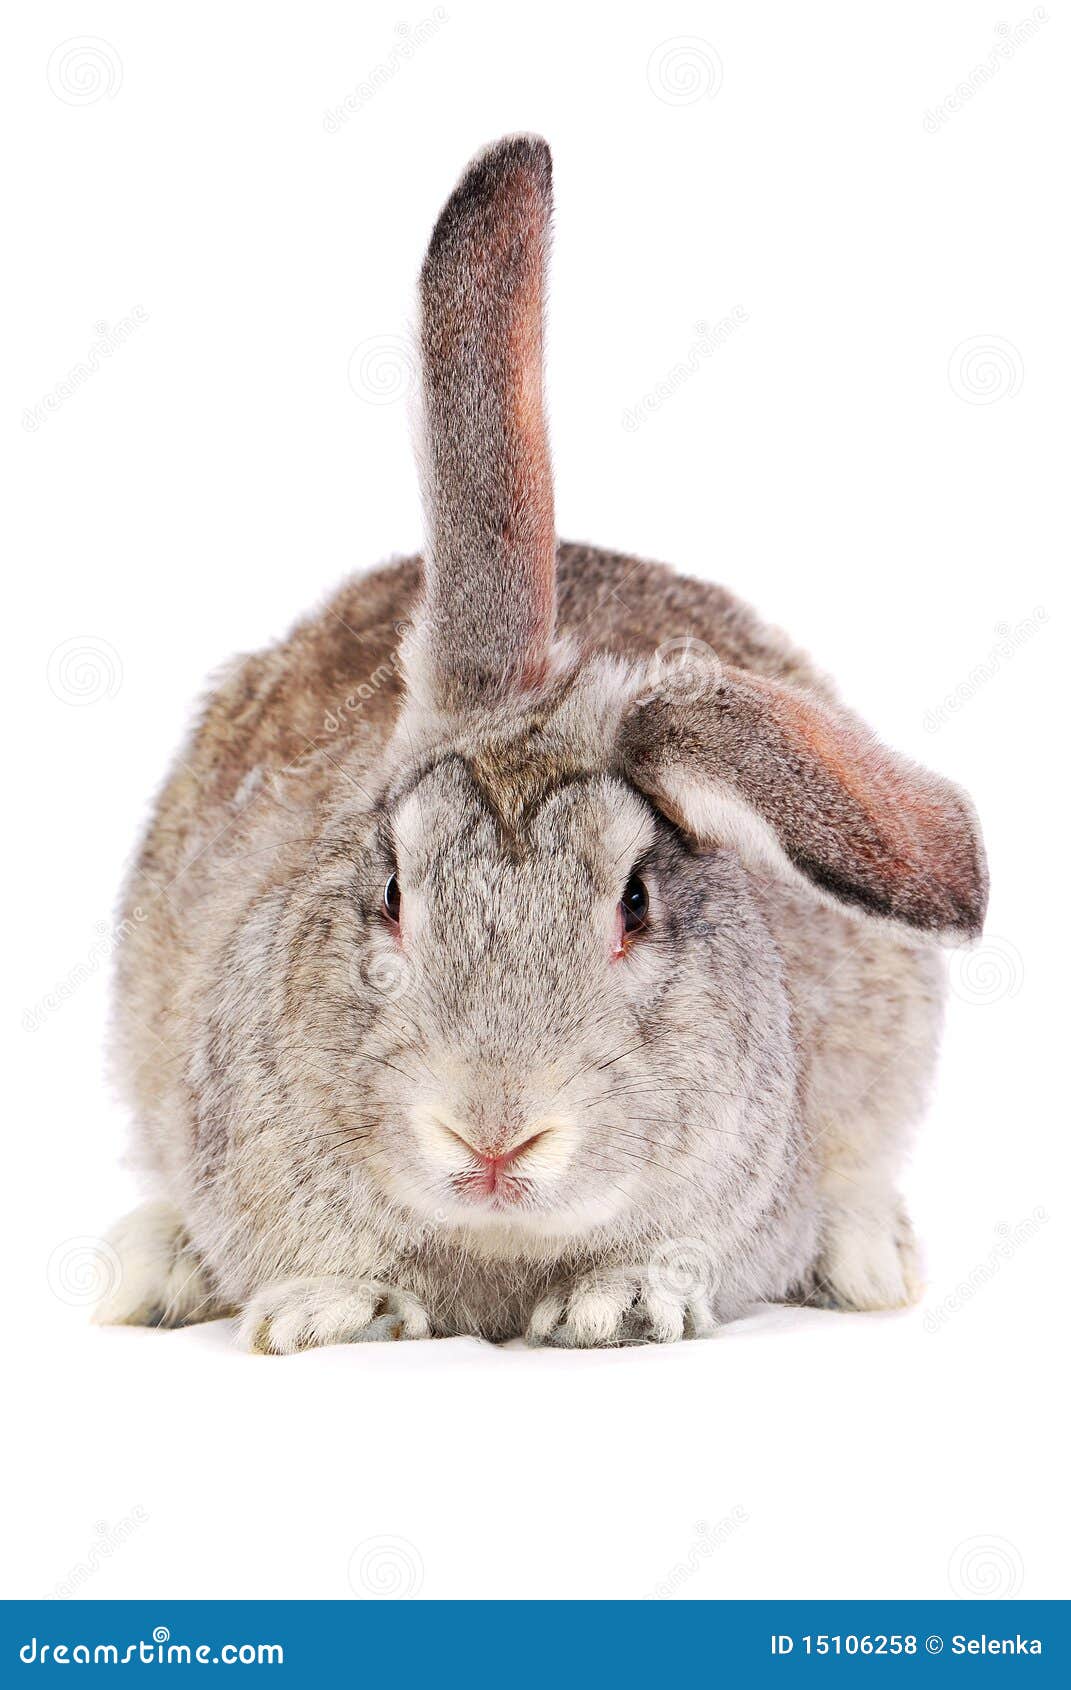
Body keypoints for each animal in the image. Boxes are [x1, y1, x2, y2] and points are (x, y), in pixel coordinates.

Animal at [96, 135, 987, 1352]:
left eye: (635, 903)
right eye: (390, 893)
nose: (492, 1132)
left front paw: (626, 1304)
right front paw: (320, 1309)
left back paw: (865, 1258)